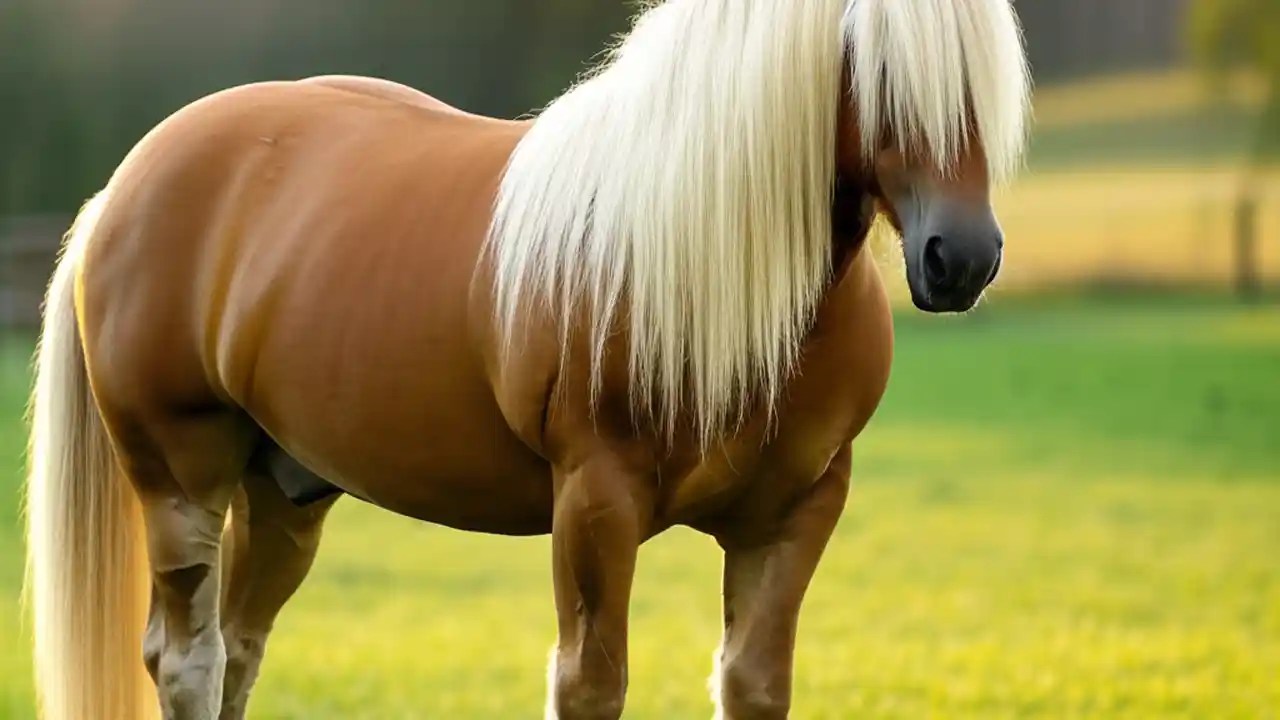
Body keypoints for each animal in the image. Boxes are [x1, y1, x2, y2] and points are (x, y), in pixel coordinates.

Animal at [23, 0, 1030, 718]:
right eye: (879, 61)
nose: (961, 258)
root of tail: (127, 185)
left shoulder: (794, 513)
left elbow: (753, 687)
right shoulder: (595, 503)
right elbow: (591, 686)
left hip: (284, 491)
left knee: (239, 650)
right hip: (180, 476)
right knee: (189, 662)